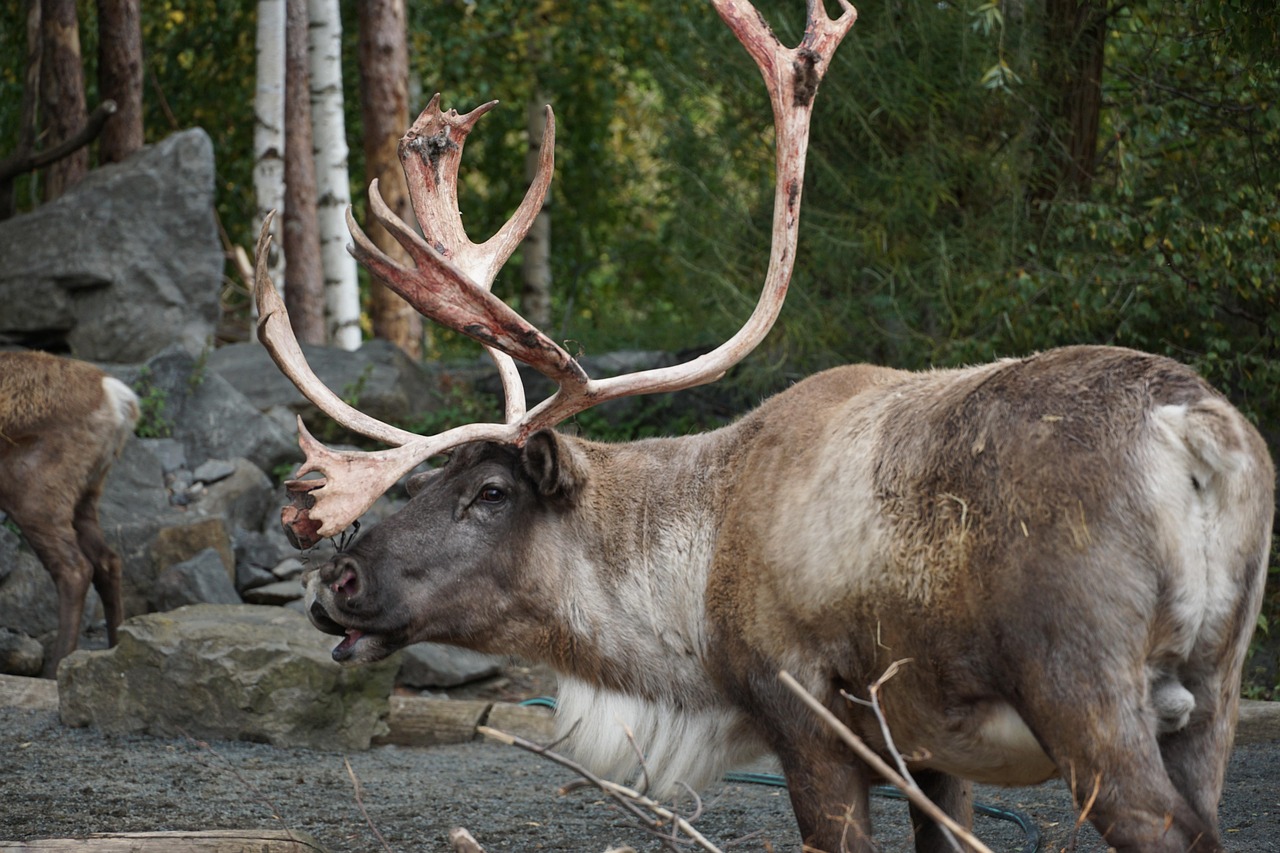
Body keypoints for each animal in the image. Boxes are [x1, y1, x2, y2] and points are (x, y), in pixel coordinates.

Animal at [0, 350, 139, 676]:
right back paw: (114, 648)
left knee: (74, 568)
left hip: (33, 490)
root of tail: (115, 396)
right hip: (87, 492)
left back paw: (56, 668)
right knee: (107, 561)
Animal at [250, 2, 1274, 851]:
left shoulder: (805, 715)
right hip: (1214, 691)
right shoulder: (931, 753)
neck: (689, 589)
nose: (336, 578)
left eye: (491, 490)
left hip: (1084, 688)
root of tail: (1199, 437)